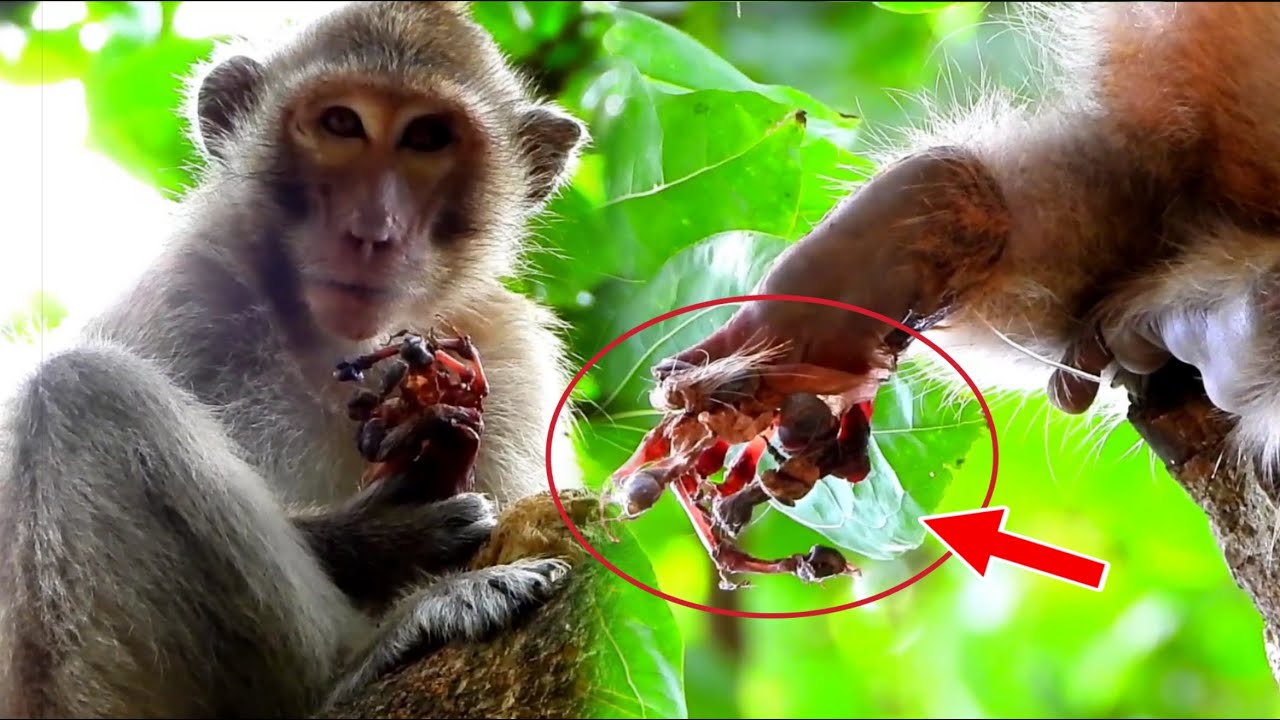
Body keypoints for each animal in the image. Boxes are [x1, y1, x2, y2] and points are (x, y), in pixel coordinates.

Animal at [0, 1, 591, 717]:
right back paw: (361, 658)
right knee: (80, 388)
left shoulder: (510, 356)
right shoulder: (181, 291)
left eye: (427, 136)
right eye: (342, 124)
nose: (371, 232)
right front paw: (376, 537)